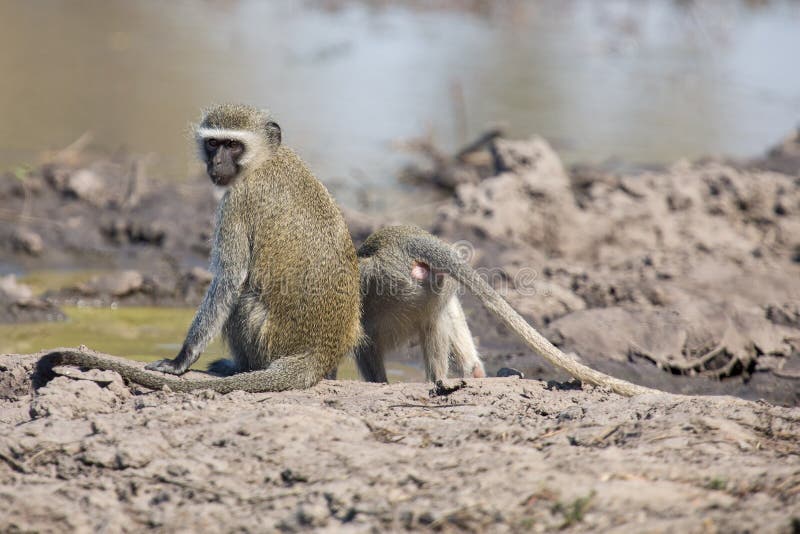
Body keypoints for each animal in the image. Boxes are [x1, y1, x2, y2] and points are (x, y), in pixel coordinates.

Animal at [38, 103, 362, 393]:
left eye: (232, 145)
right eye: (213, 144)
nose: (216, 163)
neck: (265, 160)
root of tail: (317, 354)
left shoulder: (236, 203)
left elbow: (229, 280)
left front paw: (181, 360)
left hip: (268, 340)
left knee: (239, 298)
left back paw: (241, 367)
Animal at [332, 225, 659, 397]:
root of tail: (407, 241)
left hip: (386, 285)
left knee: (369, 339)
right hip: (421, 286)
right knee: (437, 317)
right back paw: (463, 374)